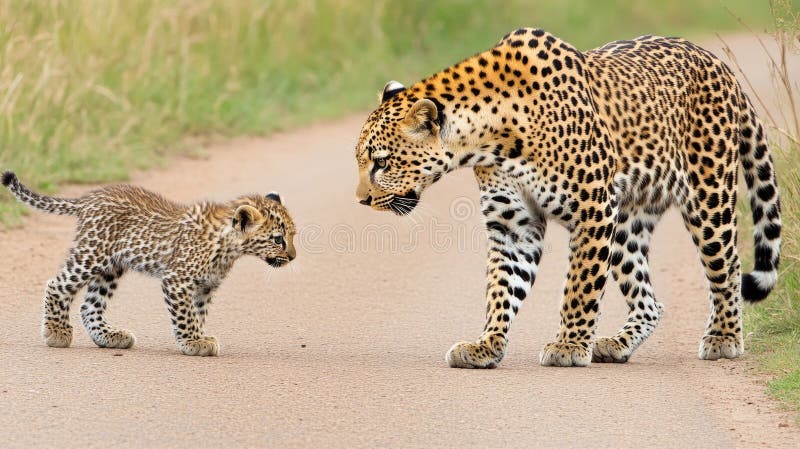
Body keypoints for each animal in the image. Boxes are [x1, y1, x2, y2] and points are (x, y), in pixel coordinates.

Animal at [2, 170, 296, 356]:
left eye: (293, 236)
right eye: (278, 239)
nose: (293, 257)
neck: (229, 247)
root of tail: (89, 199)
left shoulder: (205, 286)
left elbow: (198, 312)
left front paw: (199, 337)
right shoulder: (177, 279)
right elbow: (185, 314)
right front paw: (192, 341)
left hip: (112, 267)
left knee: (90, 305)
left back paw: (109, 337)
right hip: (92, 254)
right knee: (57, 285)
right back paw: (57, 333)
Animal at [354, 28, 781, 368]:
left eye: (382, 162)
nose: (361, 200)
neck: (489, 142)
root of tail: (718, 62)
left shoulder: (593, 210)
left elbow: (580, 285)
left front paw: (569, 345)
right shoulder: (514, 226)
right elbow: (501, 288)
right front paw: (486, 345)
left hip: (707, 199)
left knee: (726, 266)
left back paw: (724, 337)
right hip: (626, 223)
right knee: (649, 300)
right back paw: (616, 344)